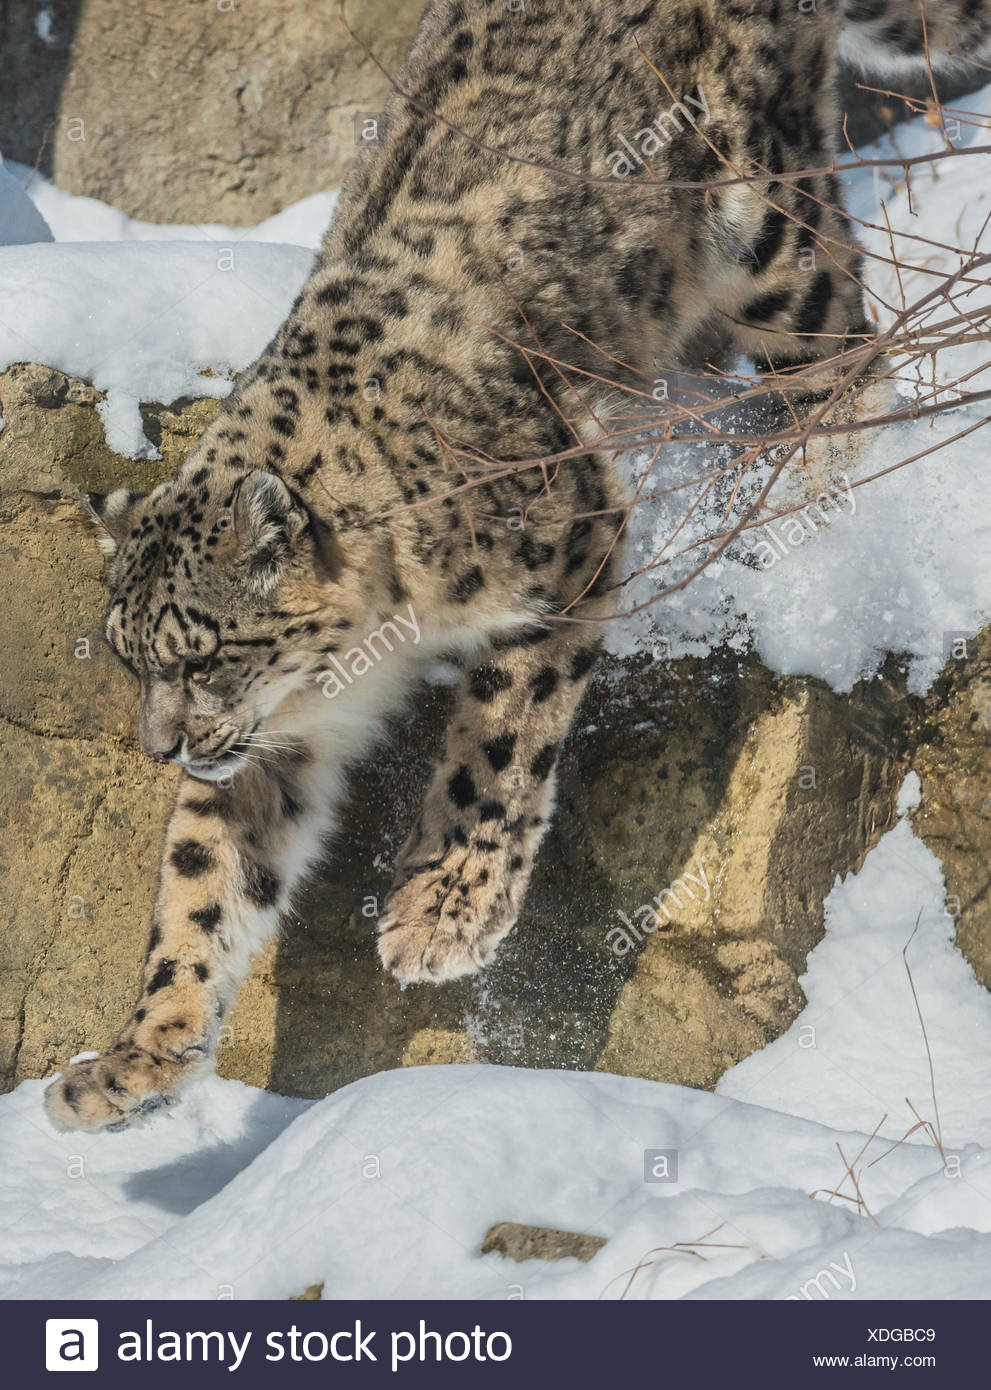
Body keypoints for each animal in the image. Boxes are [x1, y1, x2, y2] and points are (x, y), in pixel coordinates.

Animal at [45, 0, 991, 1131]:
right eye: (129, 658)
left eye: (200, 654)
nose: (161, 749)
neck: (367, 642)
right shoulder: (279, 734)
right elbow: (201, 878)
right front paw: (136, 1059)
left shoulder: (568, 535)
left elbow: (498, 742)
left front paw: (443, 911)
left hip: (759, 209)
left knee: (843, 333)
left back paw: (809, 479)